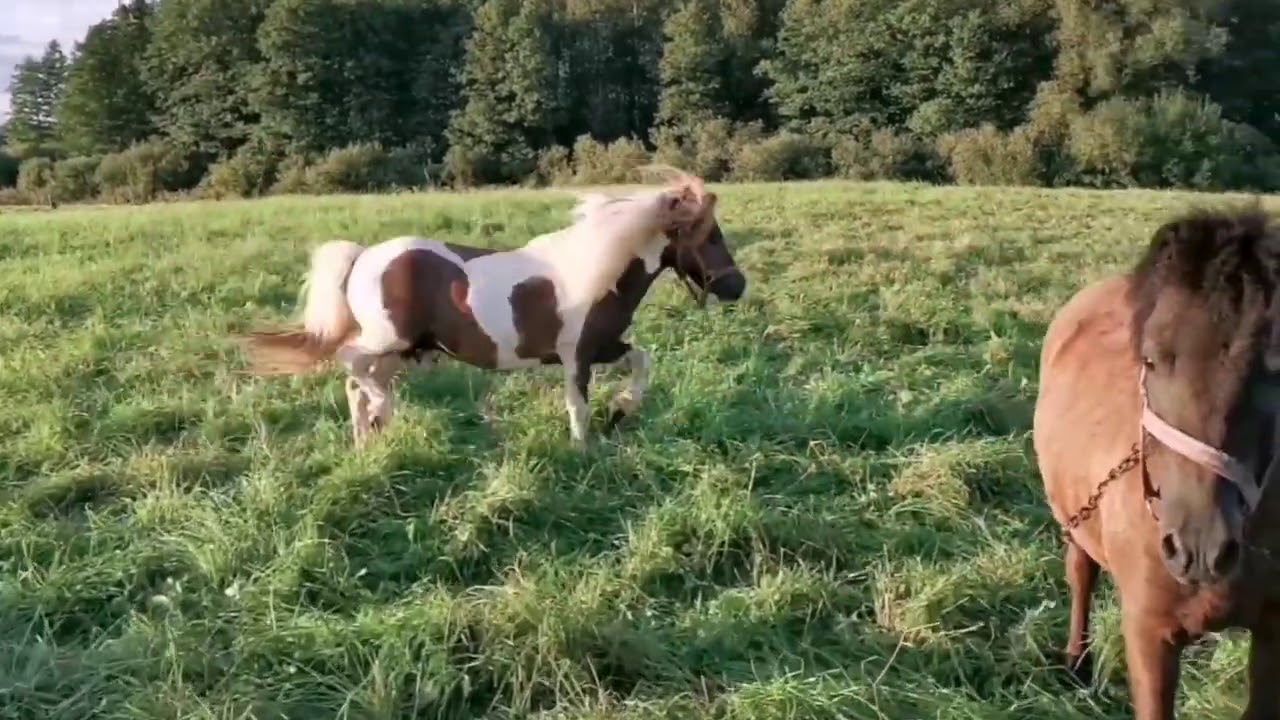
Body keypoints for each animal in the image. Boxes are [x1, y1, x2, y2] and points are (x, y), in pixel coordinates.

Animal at [237, 171, 746, 449]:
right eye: (709, 236)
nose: (737, 286)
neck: (595, 268)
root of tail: (363, 256)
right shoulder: (577, 356)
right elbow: (578, 407)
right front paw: (585, 445)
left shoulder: (603, 346)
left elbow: (642, 360)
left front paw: (621, 411)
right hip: (388, 340)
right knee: (351, 365)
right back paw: (382, 413)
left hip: (399, 351)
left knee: (355, 384)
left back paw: (368, 437)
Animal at [1034, 205, 1280, 719]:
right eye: (1150, 361)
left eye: (1277, 368)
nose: (1200, 549)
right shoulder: (1149, 634)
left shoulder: (1274, 631)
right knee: (1081, 572)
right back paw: (1076, 660)